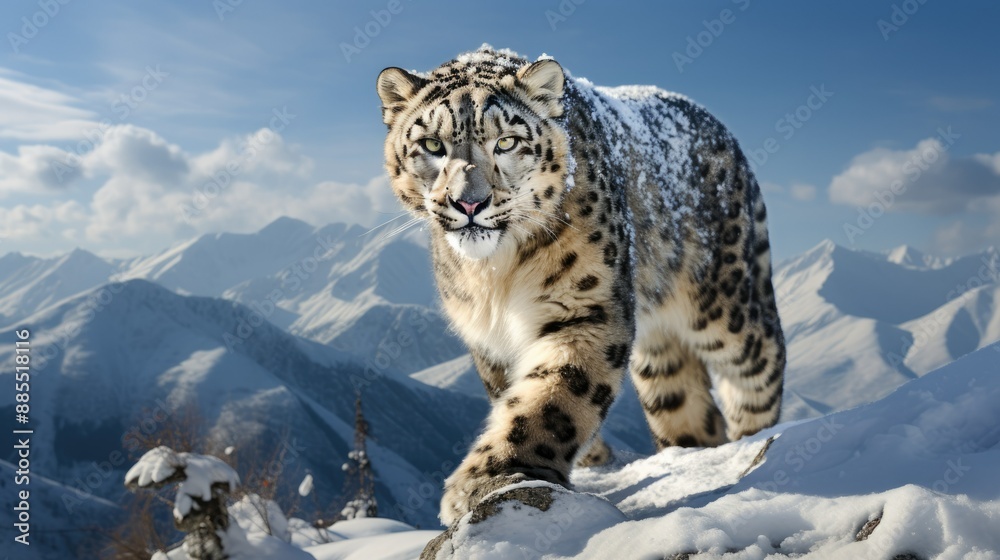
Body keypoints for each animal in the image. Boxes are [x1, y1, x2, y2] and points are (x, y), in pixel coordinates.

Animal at [375, 46, 785, 527]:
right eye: (432, 145)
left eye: (506, 142)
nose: (469, 203)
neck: (495, 276)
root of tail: (726, 135)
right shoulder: (487, 337)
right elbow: (513, 395)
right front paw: (591, 465)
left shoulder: (586, 308)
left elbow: (553, 399)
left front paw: (489, 479)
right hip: (658, 353)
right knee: (684, 401)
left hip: (723, 303)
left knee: (761, 361)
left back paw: (762, 443)